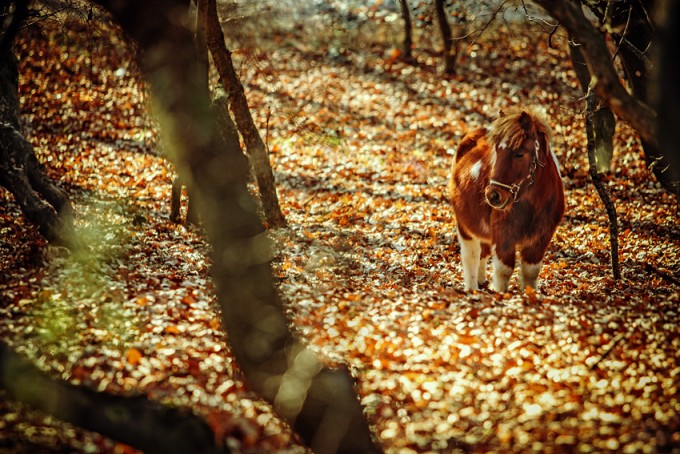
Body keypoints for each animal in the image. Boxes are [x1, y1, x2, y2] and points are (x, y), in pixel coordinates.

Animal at [448, 107, 564, 292]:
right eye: (497, 150)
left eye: (519, 154)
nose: (493, 195)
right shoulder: (504, 237)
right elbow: (504, 271)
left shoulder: (541, 238)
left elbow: (530, 272)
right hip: (464, 227)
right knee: (471, 255)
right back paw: (472, 288)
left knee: (483, 252)